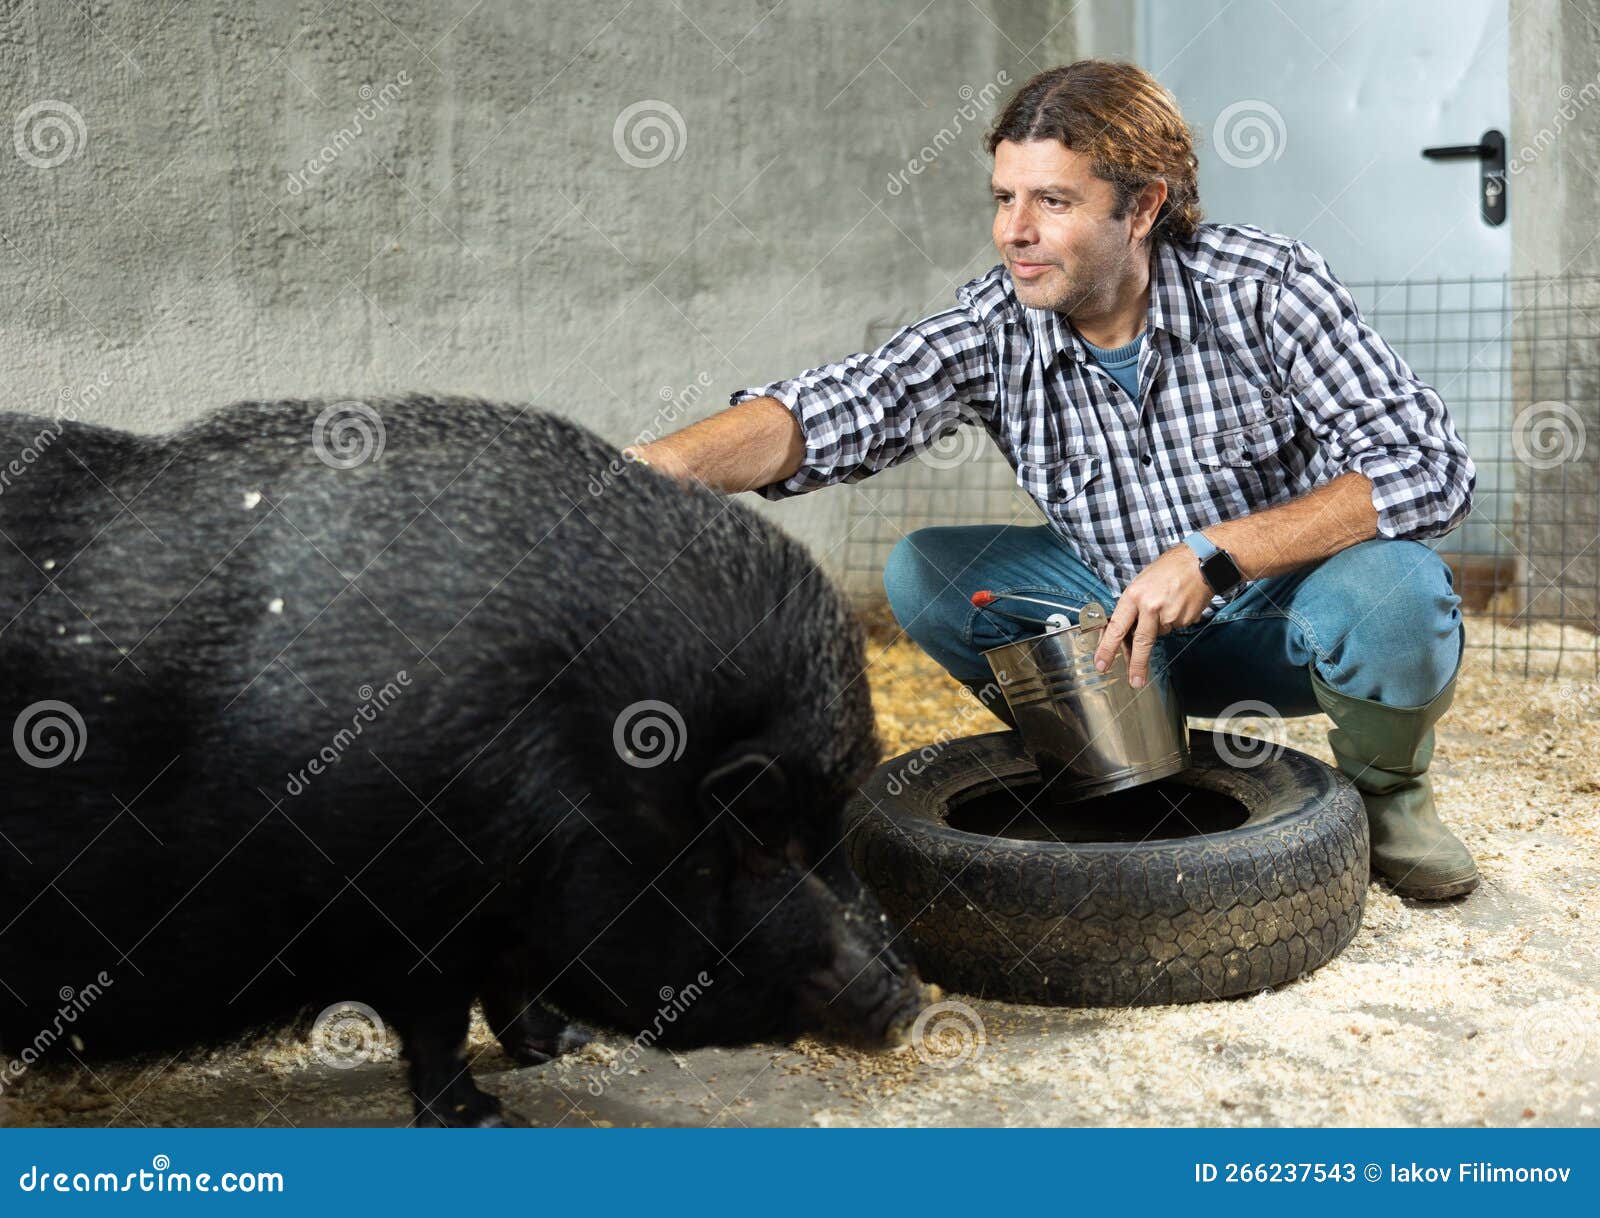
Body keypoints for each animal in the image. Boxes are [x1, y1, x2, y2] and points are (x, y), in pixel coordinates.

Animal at [0, 395, 929, 1126]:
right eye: (767, 837)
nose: (909, 1001)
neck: (586, 753)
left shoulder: (510, 910)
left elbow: (512, 985)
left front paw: (564, 1045)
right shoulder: (418, 920)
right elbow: (440, 1023)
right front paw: (492, 1119)